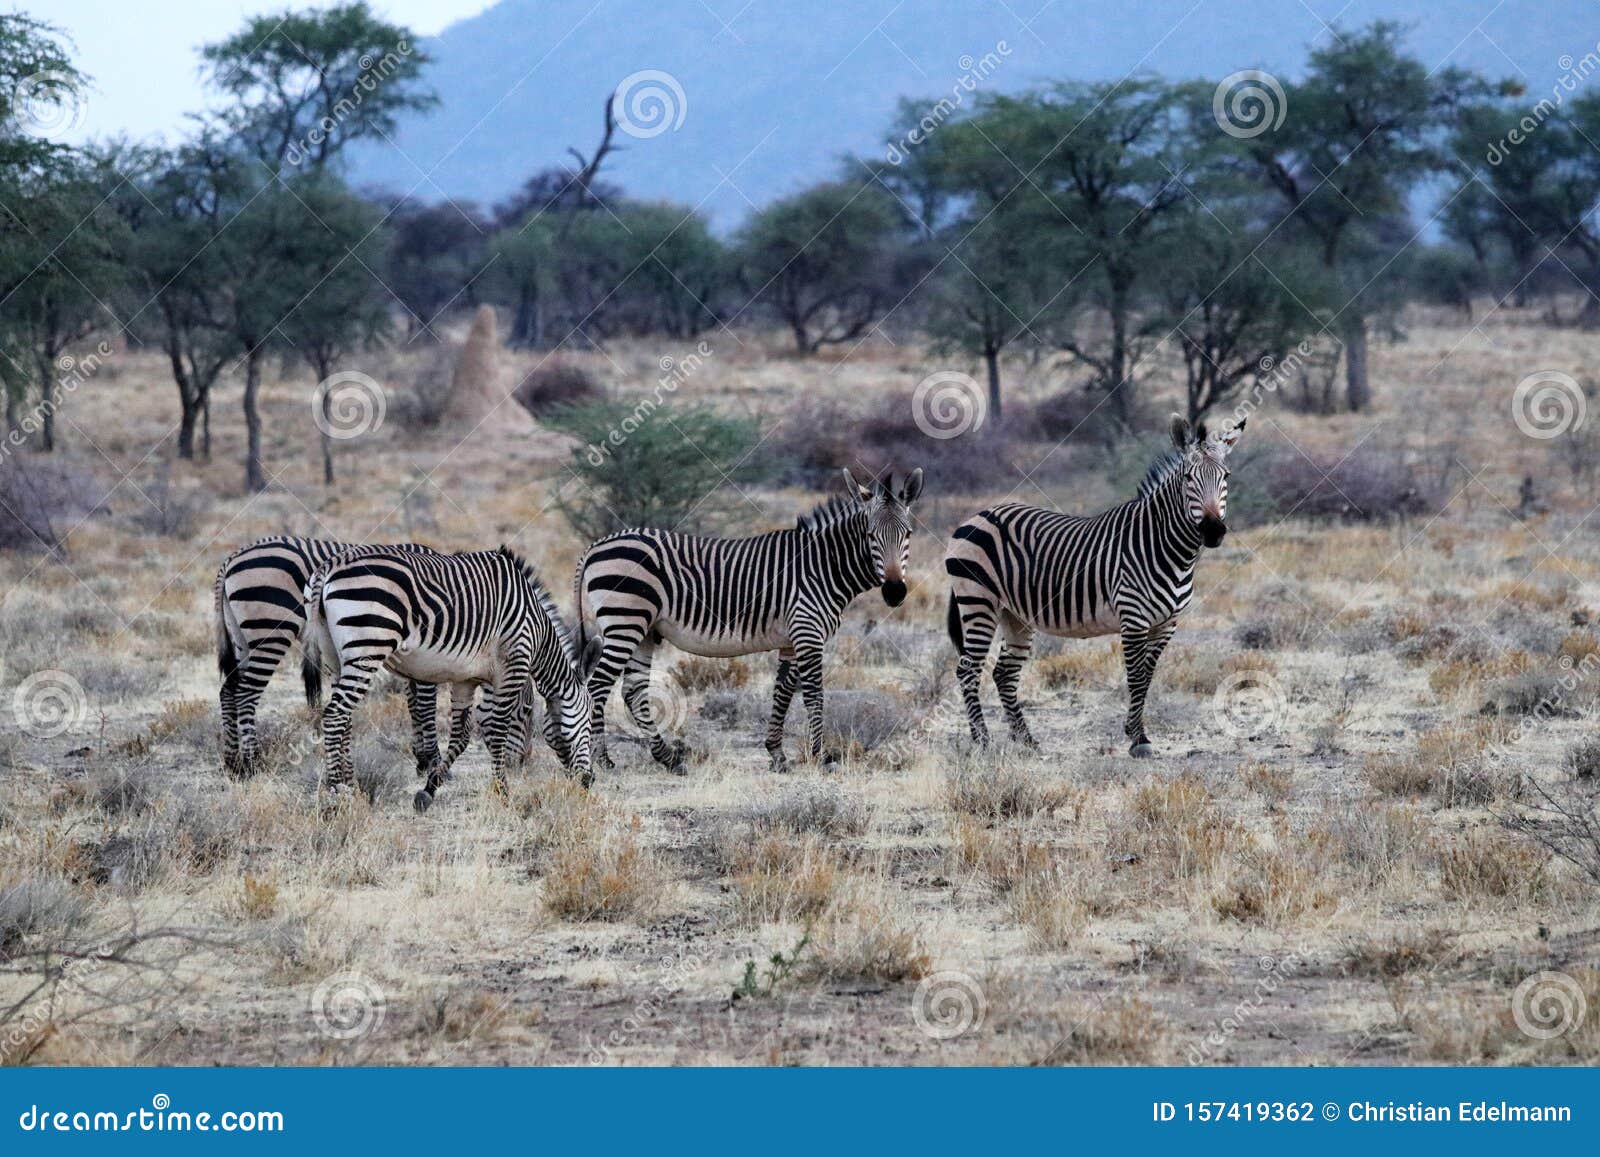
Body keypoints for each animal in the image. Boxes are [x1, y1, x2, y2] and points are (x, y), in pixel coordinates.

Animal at [215, 536, 450, 777]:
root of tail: (232, 558)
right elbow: (426, 704)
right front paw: (433, 761)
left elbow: (413, 702)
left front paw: (422, 759)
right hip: (270, 634)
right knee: (246, 693)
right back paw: (253, 763)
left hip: (241, 638)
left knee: (229, 691)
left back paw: (233, 763)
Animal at [301, 545, 601, 810]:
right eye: (588, 721)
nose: (589, 780)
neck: (537, 632)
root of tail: (329, 567)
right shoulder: (511, 668)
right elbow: (497, 730)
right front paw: (503, 793)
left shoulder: (465, 681)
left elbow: (462, 736)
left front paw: (428, 791)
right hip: (368, 646)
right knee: (335, 715)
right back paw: (338, 791)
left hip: (335, 655)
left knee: (345, 719)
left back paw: (351, 785)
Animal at [575, 469, 924, 774]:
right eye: (870, 535)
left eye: (908, 534)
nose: (894, 591)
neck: (822, 566)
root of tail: (595, 546)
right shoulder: (808, 631)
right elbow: (814, 693)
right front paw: (821, 758)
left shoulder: (791, 638)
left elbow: (783, 691)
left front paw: (777, 755)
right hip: (625, 622)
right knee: (598, 685)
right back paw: (602, 760)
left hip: (644, 630)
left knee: (633, 691)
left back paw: (668, 759)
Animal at [945, 415, 1245, 757]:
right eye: (1187, 478)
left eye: (1226, 476)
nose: (1213, 531)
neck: (1168, 550)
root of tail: (978, 515)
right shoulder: (1133, 619)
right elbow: (1136, 677)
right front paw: (1139, 739)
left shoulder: (1167, 624)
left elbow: (1148, 676)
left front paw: (1133, 731)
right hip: (977, 601)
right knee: (968, 670)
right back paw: (982, 740)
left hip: (1014, 614)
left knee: (1004, 672)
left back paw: (1026, 739)